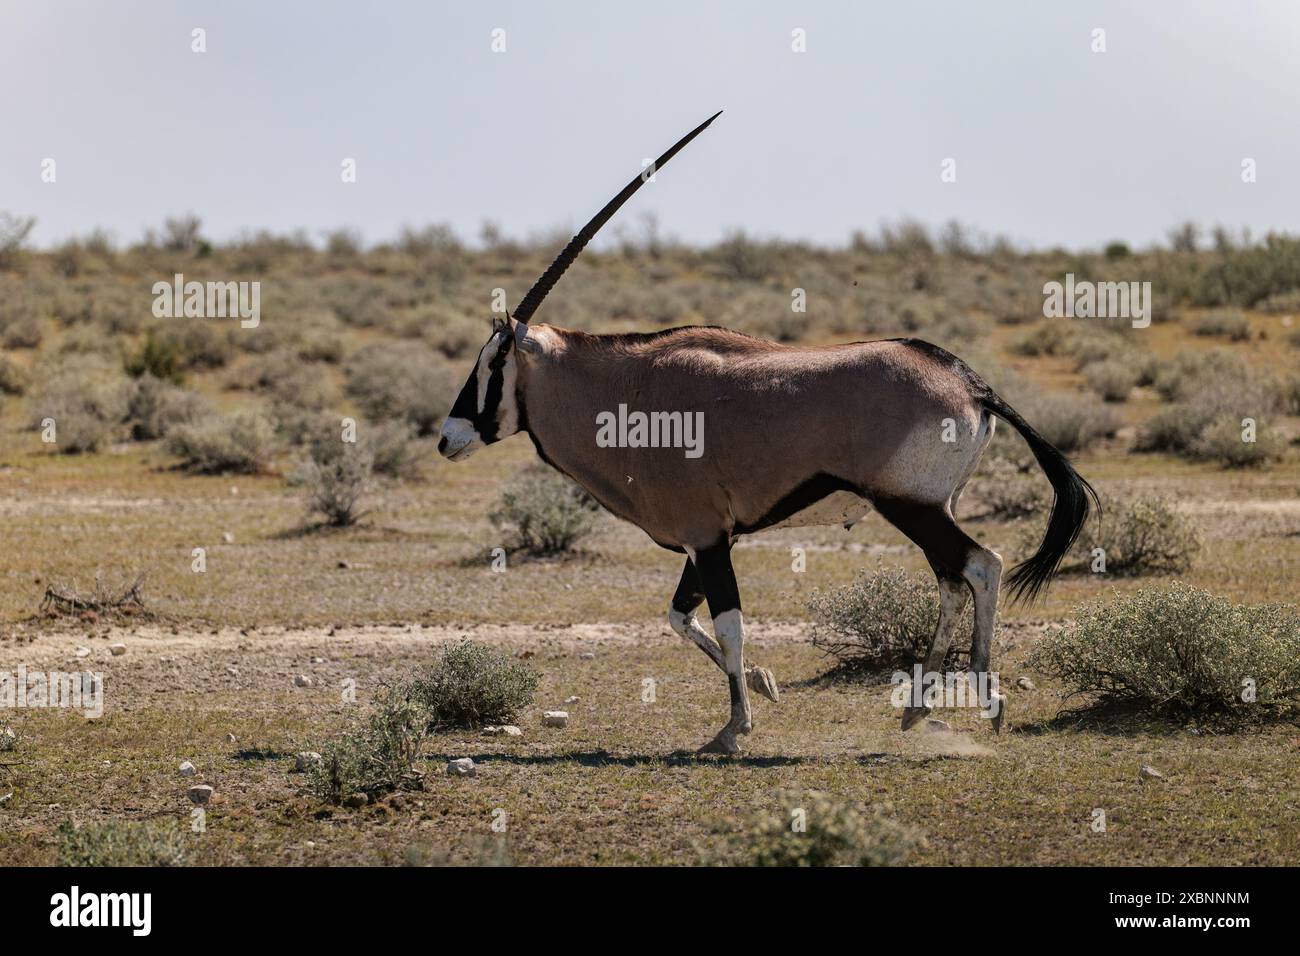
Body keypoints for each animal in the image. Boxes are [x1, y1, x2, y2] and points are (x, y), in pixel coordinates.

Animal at [439, 113, 1096, 754]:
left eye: (495, 361)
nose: (449, 437)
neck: (628, 389)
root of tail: (969, 381)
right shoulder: (707, 538)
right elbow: (680, 617)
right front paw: (763, 684)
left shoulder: (707, 536)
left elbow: (728, 622)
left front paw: (734, 727)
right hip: (930, 507)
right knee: (953, 581)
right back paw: (916, 711)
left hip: (909, 503)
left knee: (981, 565)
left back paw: (985, 700)